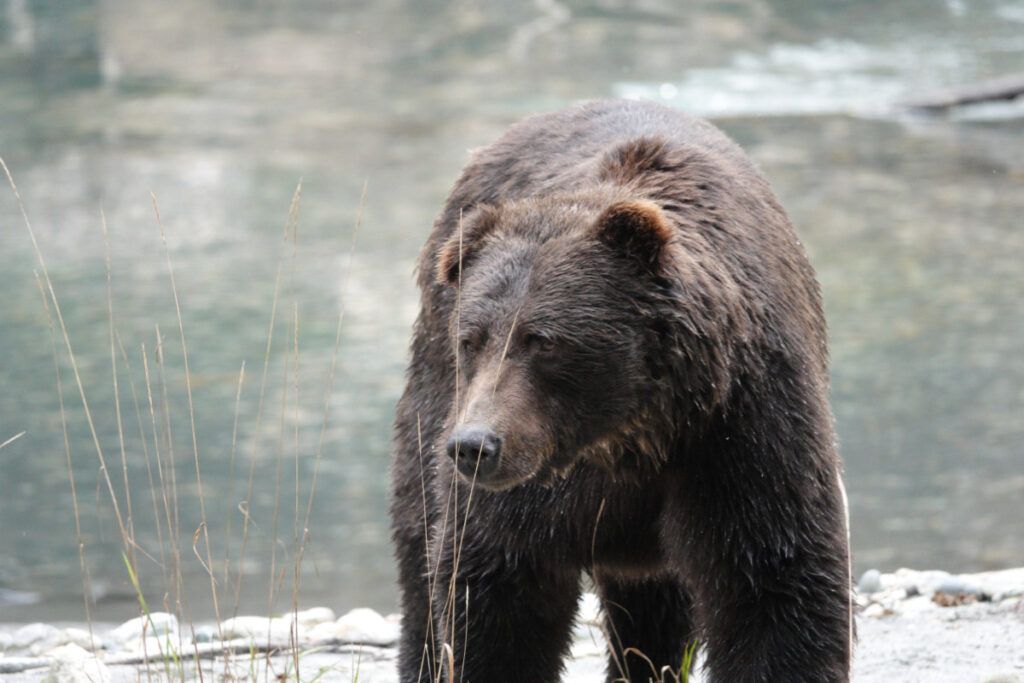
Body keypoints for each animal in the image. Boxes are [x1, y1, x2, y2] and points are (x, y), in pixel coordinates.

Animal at [390, 99, 852, 683]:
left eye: (541, 340)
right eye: (471, 338)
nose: (475, 445)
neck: (627, 432)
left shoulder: (740, 429)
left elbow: (774, 581)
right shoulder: (527, 484)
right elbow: (496, 591)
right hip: (431, 398)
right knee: (420, 547)